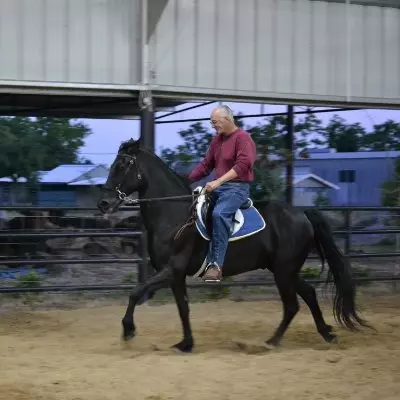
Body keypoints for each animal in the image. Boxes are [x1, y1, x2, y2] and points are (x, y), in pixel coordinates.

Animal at [98, 139, 370, 352]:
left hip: (284, 271)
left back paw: (269, 342)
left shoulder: (172, 269)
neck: (174, 216)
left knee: (292, 305)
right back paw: (325, 334)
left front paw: (128, 331)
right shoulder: (175, 276)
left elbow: (135, 292)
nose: (103, 203)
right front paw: (185, 344)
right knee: (309, 295)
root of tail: (302, 214)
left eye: (121, 165)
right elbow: (183, 308)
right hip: (285, 270)